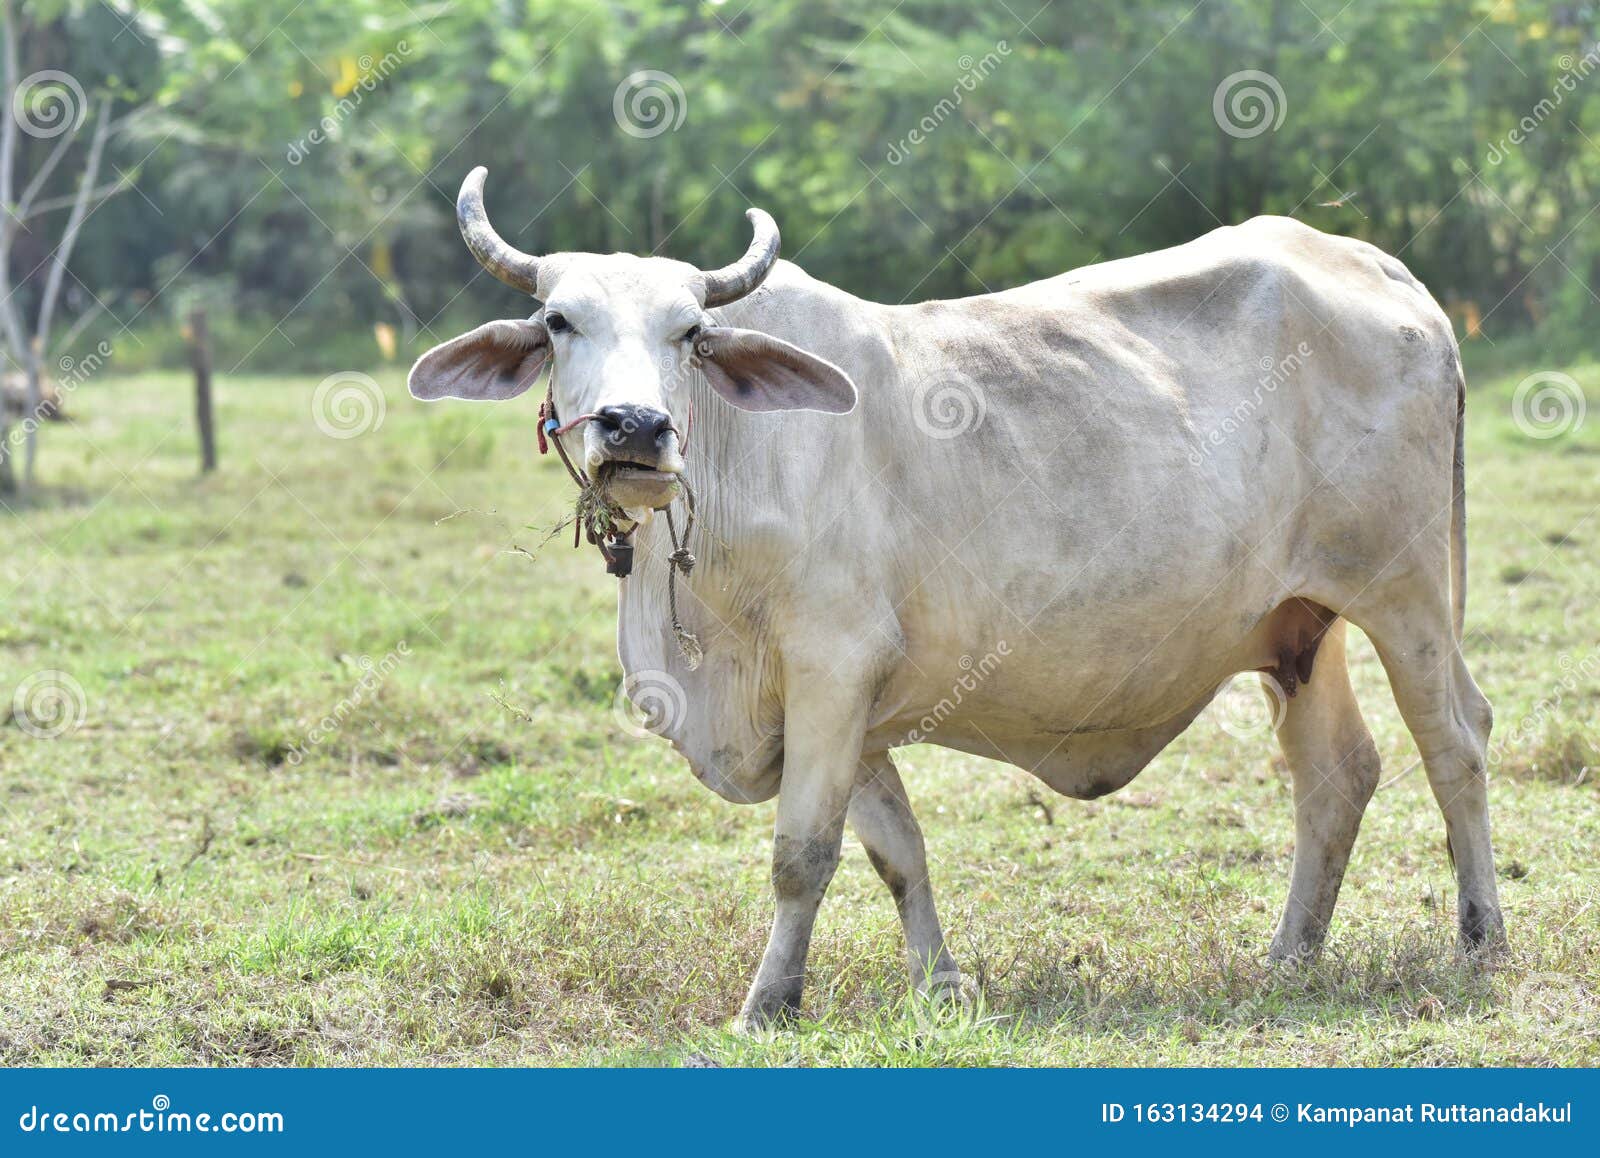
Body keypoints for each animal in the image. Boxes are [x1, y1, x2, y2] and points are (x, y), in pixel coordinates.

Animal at [410, 167, 1504, 1029]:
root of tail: (1378, 269)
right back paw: (1289, 956)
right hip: (1298, 627)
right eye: (560, 321)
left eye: (689, 332)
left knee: (1454, 742)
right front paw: (939, 985)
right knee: (1336, 774)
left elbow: (801, 854)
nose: (635, 426)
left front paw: (768, 1003)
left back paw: (1481, 941)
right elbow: (897, 850)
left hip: (1404, 593)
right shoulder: (846, 706)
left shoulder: (831, 664)